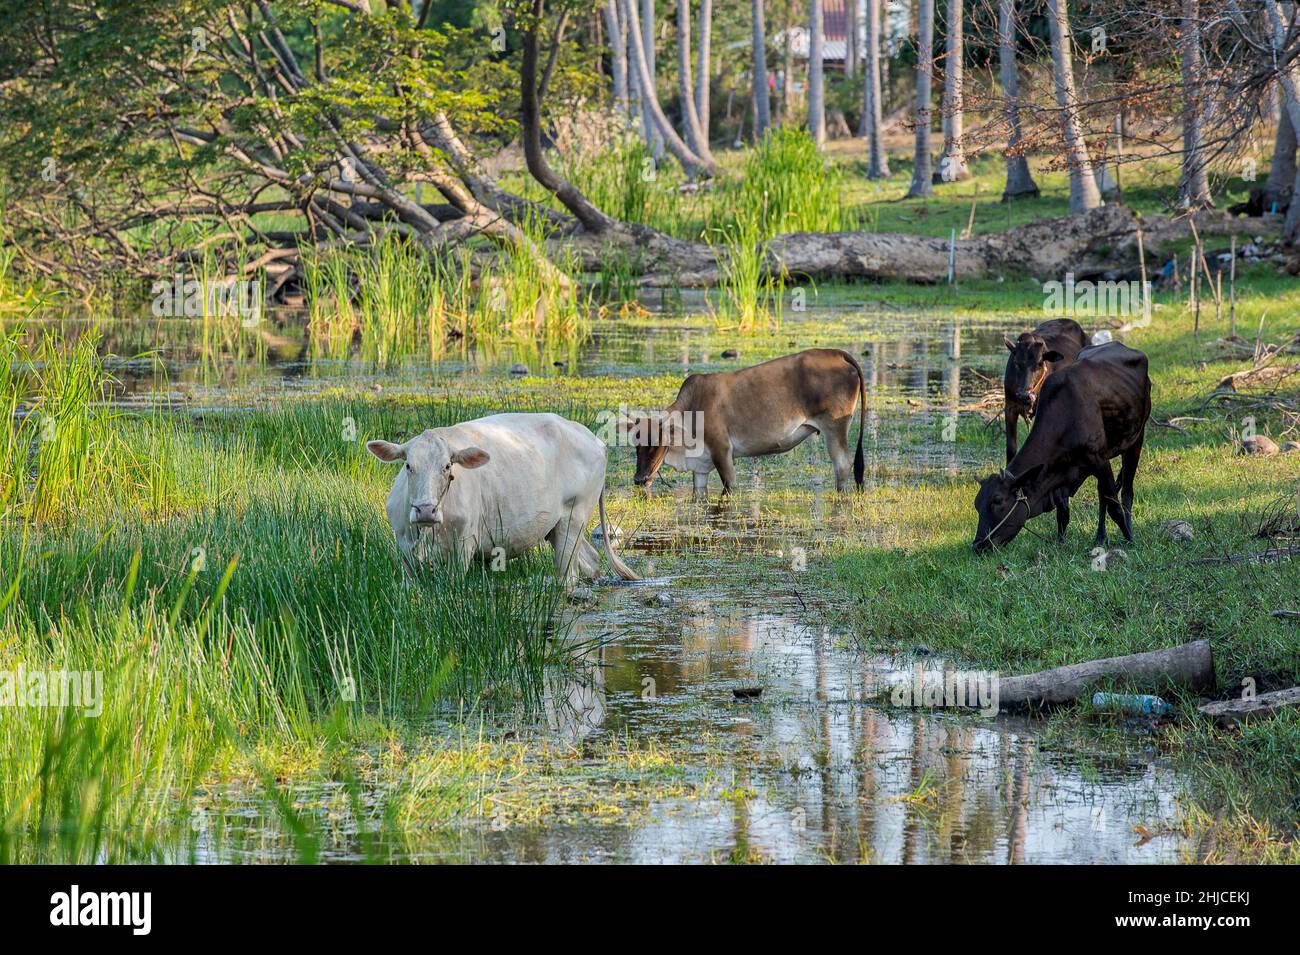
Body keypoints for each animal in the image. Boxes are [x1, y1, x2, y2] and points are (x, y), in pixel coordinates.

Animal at [366, 413, 638, 585]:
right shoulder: (403, 546)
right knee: (590, 560)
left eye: (447, 466)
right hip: (559, 526)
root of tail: (595, 440)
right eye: (408, 466)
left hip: (575, 516)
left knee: (567, 574)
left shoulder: (464, 544)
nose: (425, 510)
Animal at [617, 348, 867, 495]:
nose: (639, 479)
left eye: (656, 444)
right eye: (636, 445)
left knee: (842, 464)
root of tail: (837, 353)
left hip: (834, 427)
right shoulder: (700, 467)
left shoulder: (722, 451)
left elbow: (729, 485)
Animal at [973, 341, 1151, 552]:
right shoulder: (1059, 471)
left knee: (1126, 493)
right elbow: (1063, 513)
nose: (978, 545)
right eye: (977, 504)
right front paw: (1059, 542)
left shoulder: (1099, 460)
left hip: (1137, 439)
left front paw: (1130, 540)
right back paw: (1100, 537)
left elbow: (1114, 507)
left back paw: (1126, 533)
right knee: (1103, 496)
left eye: (998, 500)